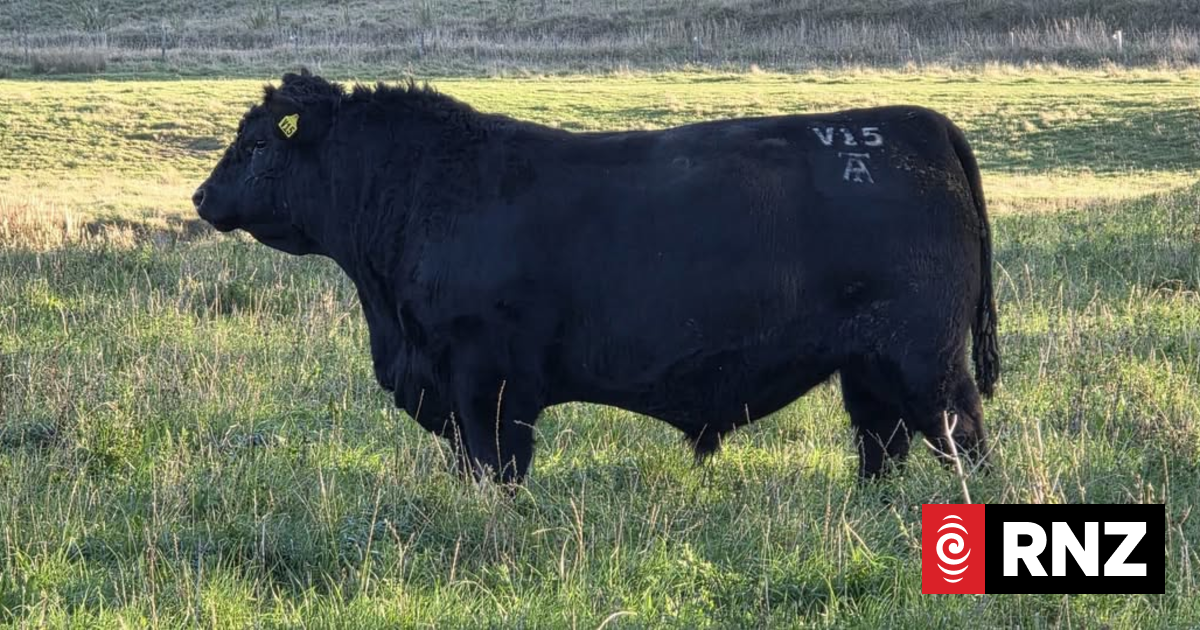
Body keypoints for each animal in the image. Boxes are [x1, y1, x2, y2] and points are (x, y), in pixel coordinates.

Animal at [194, 70, 1000, 485]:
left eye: (256, 143)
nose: (202, 197)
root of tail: (919, 122)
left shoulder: (485, 384)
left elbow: (496, 467)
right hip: (869, 366)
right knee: (881, 445)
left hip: (927, 363)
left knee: (961, 441)